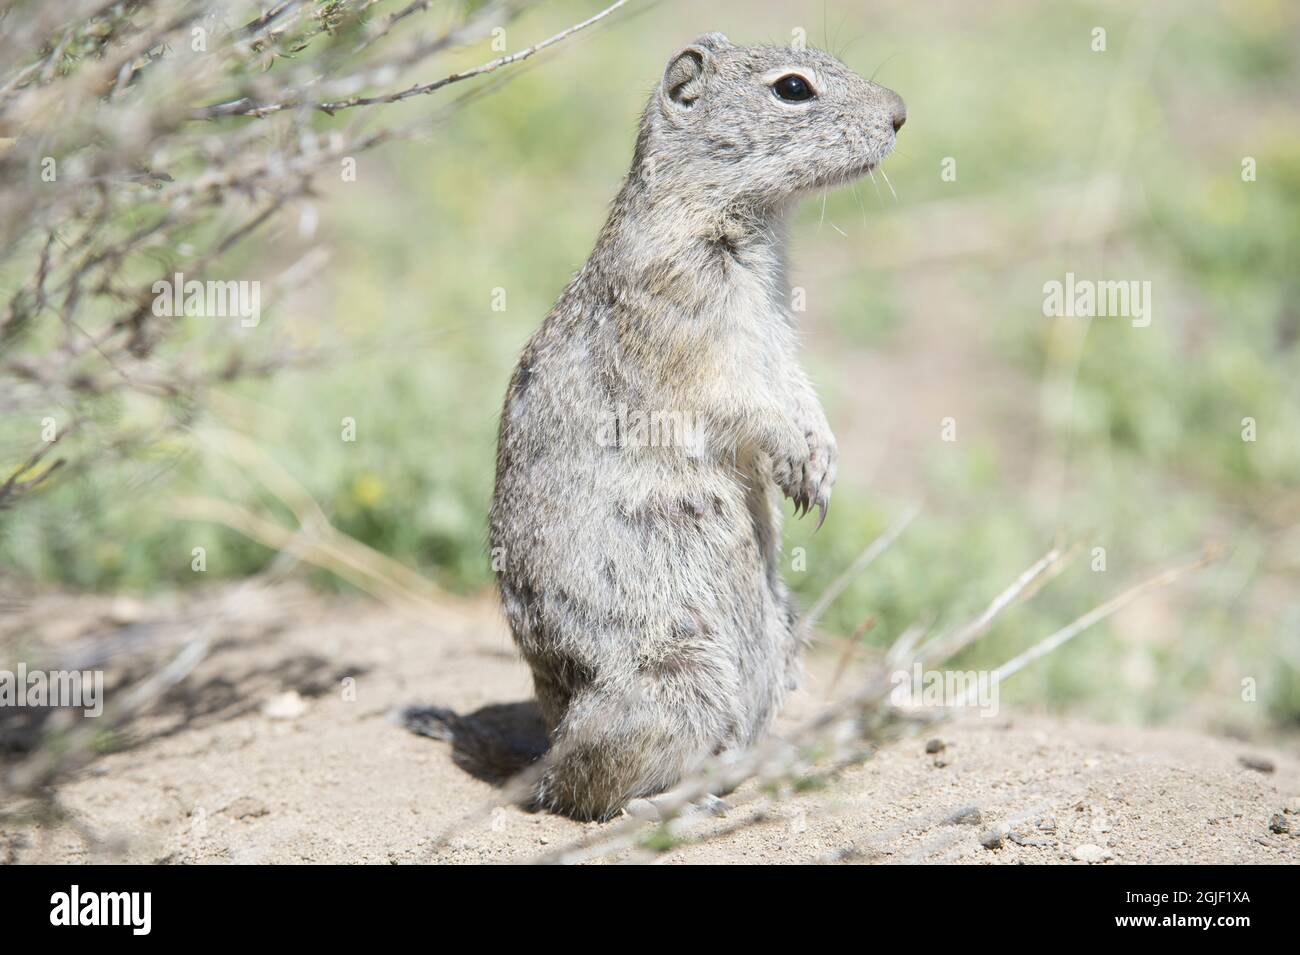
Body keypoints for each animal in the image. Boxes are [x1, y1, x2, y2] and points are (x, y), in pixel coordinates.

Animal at [402, 33, 905, 821]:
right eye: (792, 88)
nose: (900, 113)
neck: (745, 226)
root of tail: (544, 749)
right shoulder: (682, 321)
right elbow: (742, 402)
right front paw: (798, 462)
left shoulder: (777, 337)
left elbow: (795, 387)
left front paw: (822, 459)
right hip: (676, 680)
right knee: (580, 793)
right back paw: (665, 805)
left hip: (781, 640)